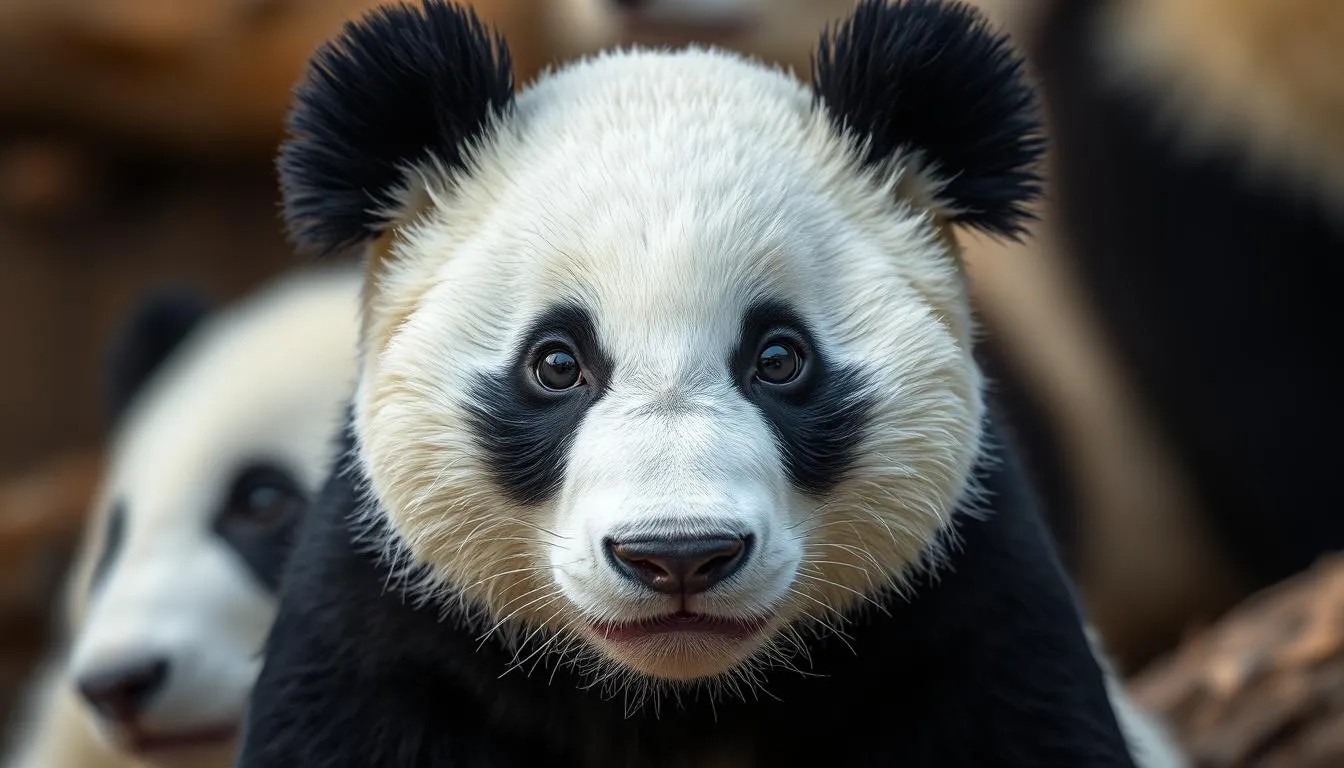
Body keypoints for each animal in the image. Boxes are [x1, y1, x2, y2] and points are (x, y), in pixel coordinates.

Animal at [236, 1, 1184, 765]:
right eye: (556, 364)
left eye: (779, 359)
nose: (679, 554)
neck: (675, 698)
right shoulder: (390, 625)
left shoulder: (964, 609)